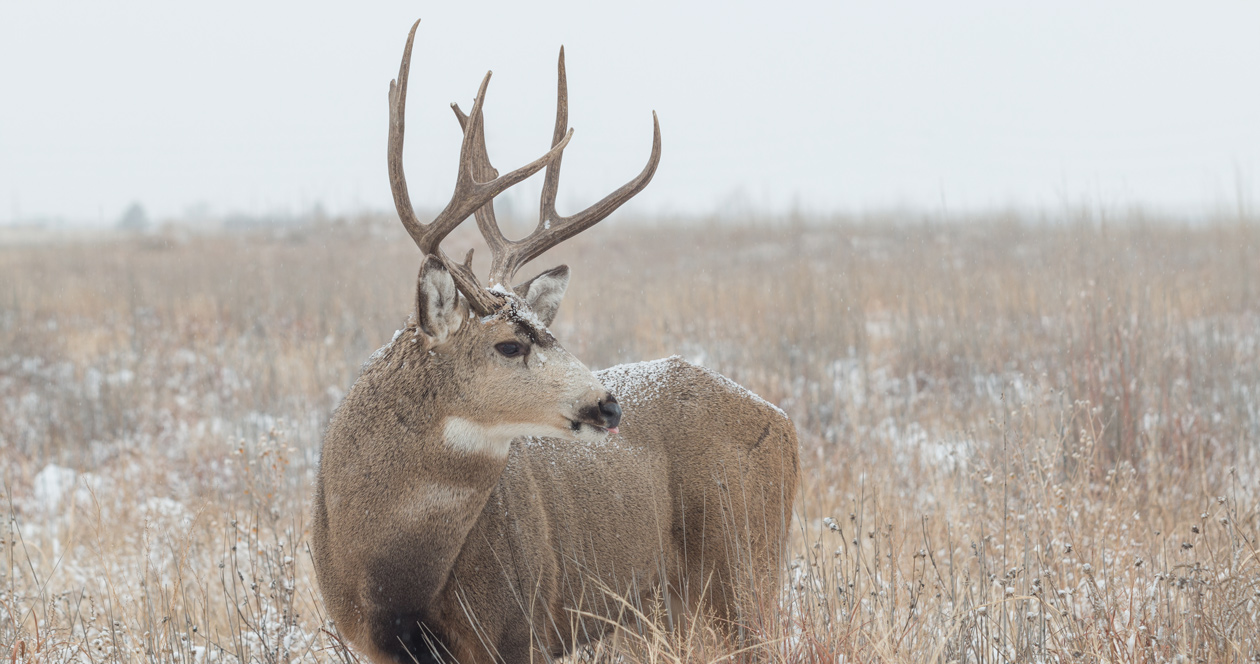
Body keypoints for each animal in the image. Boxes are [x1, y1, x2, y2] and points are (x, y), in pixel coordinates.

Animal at [311, 20, 800, 664]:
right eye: (509, 345)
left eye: (550, 332)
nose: (609, 405)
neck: (395, 576)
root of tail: (786, 426)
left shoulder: (521, 623)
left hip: (745, 566)